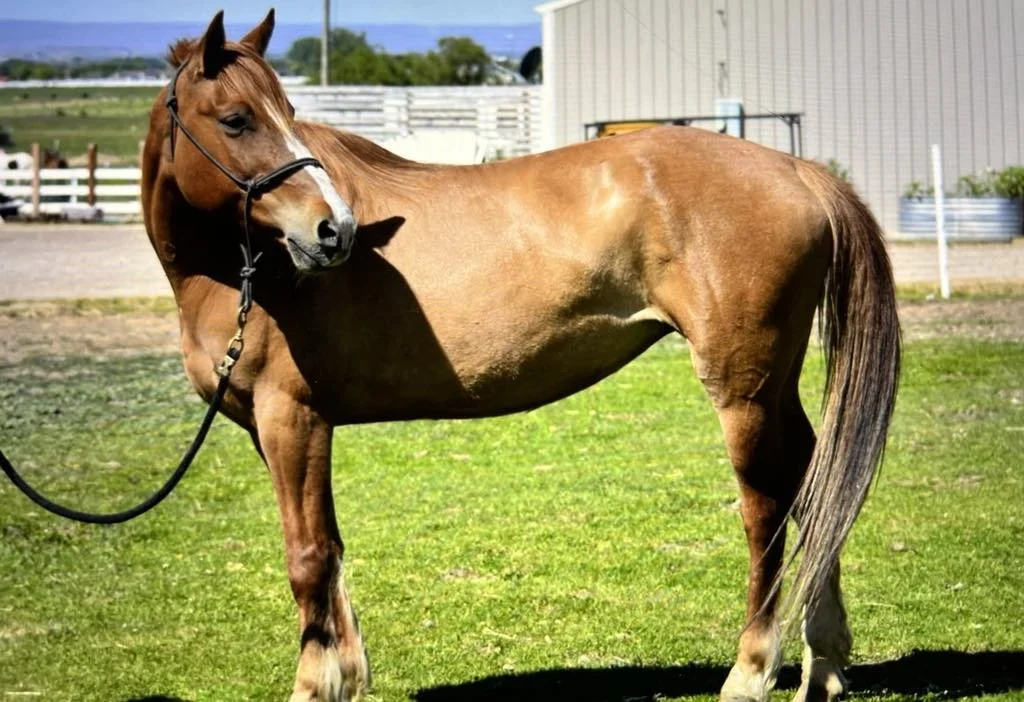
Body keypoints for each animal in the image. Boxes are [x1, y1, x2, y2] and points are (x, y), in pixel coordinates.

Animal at [141, 11, 900, 702]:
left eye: (286, 114)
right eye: (237, 119)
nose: (335, 231)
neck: (243, 270)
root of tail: (798, 171)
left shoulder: (291, 419)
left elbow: (306, 557)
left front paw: (313, 685)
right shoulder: (287, 430)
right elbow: (330, 549)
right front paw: (347, 677)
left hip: (743, 390)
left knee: (765, 510)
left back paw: (749, 672)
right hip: (775, 387)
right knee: (816, 488)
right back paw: (824, 665)